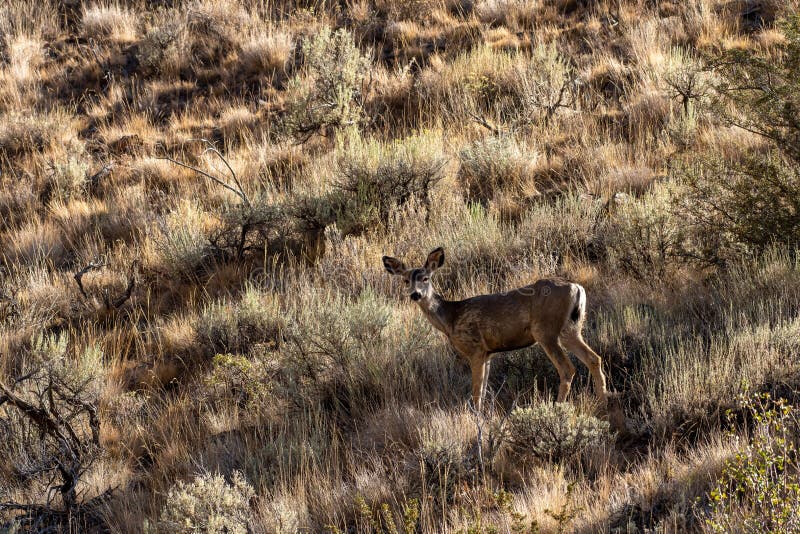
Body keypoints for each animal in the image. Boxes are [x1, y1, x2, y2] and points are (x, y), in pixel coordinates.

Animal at [382, 247, 610, 412]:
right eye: (405, 280)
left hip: (546, 329)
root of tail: (577, 288)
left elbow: (476, 389)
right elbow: (483, 388)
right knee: (594, 358)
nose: (415, 295)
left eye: (425, 278)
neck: (451, 318)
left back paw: (558, 407)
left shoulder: (475, 348)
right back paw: (603, 402)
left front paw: (476, 415)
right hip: (571, 328)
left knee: (567, 368)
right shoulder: (488, 353)